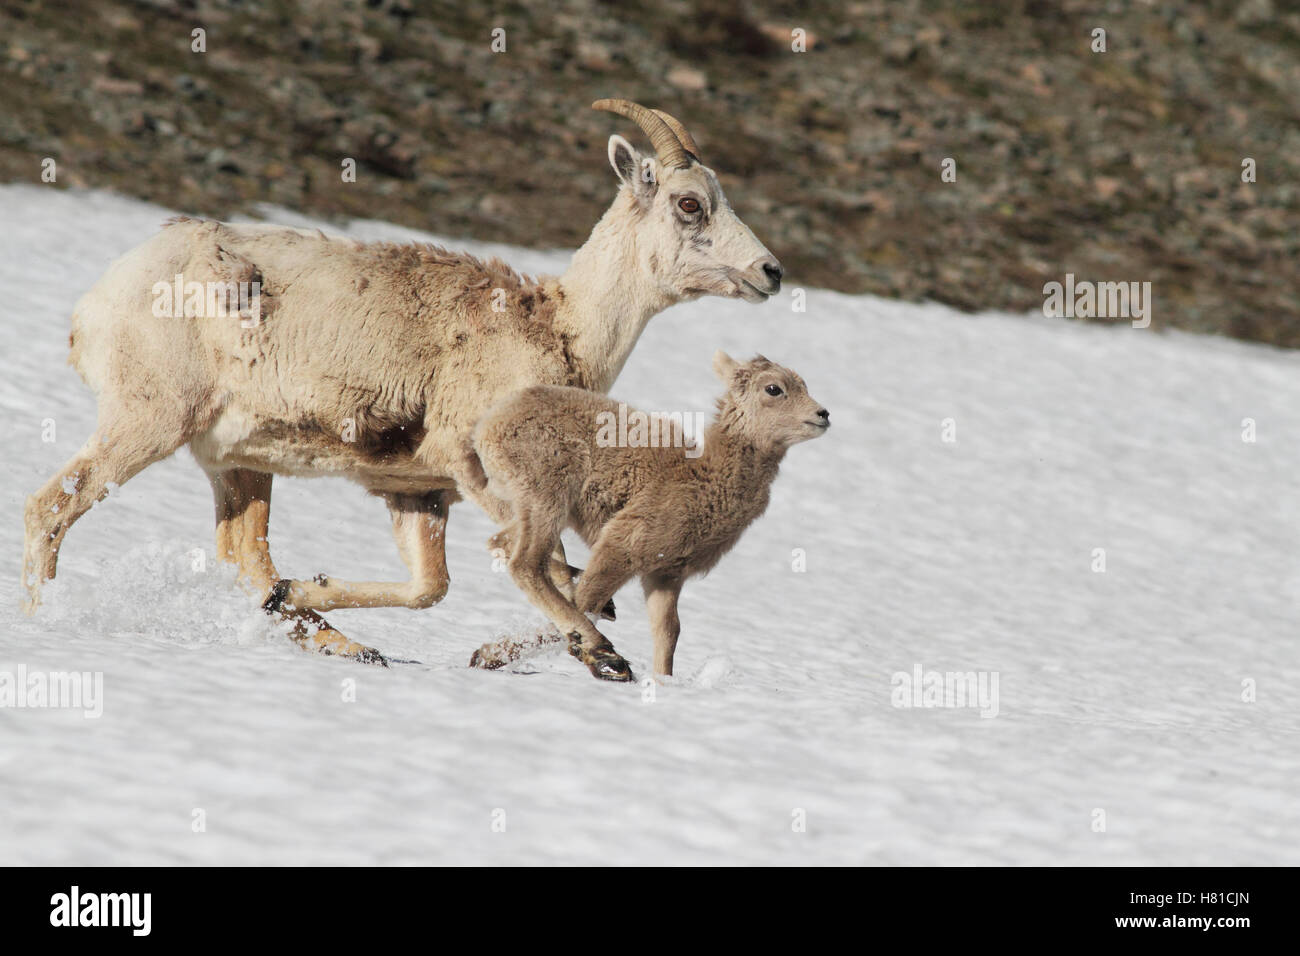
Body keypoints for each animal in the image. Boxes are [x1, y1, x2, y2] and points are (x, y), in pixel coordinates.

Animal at [21, 100, 784, 666]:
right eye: (690, 204)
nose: (771, 273)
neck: (556, 328)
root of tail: (99, 300)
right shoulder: (469, 464)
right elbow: (533, 558)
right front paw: (598, 650)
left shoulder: (416, 492)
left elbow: (429, 589)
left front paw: (309, 592)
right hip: (146, 423)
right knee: (50, 509)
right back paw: (43, 619)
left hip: (237, 465)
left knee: (250, 562)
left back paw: (339, 639)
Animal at [462, 351, 830, 681]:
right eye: (773, 389)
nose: (823, 414)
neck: (706, 474)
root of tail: (485, 428)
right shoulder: (622, 546)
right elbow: (586, 600)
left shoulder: (666, 573)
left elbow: (668, 631)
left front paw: (663, 680)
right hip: (547, 495)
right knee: (526, 565)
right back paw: (602, 652)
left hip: (534, 507)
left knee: (501, 544)